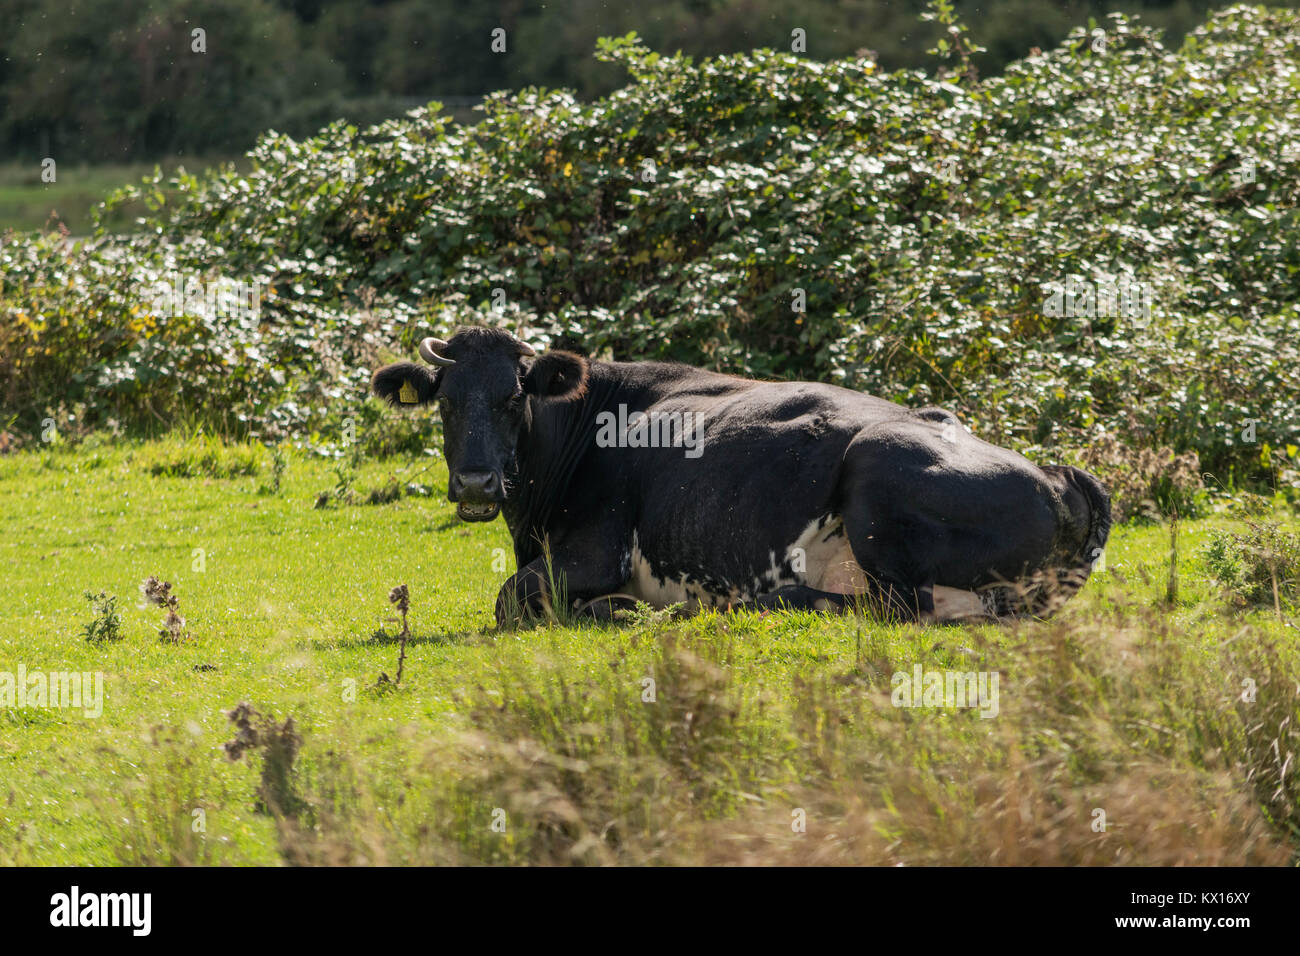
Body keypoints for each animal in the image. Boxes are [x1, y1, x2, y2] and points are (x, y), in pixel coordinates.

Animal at [372, 326, 1111, 627]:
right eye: (445, 401)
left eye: (511, 397)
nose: (474, 485)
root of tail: (1056, 477)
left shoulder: (596, 550)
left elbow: (511, 598)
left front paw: (621, 609)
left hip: (878, 465)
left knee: (894, 605)